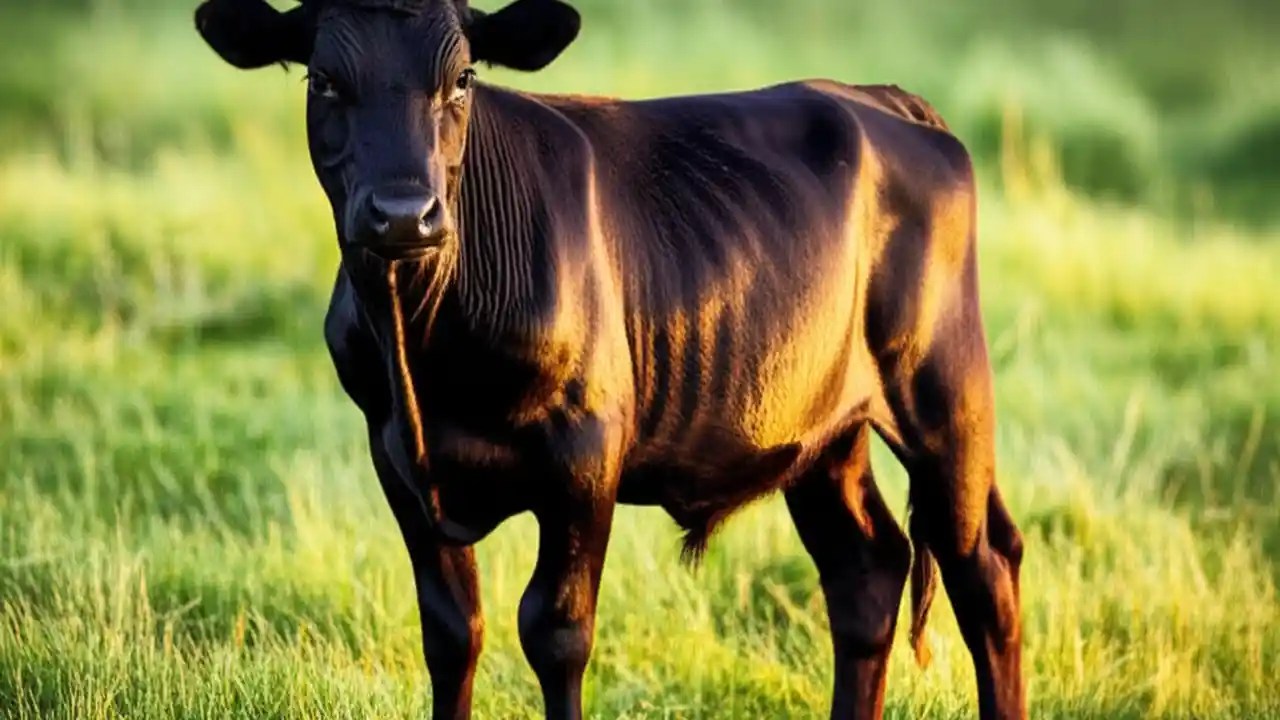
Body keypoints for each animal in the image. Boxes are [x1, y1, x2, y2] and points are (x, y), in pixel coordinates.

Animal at [194, 0, 1026, 718]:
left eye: (461, 79)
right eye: (323, 80)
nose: (403, 214)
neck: (422, 350)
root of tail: (879, 98)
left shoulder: (585, 449)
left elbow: (556, 631)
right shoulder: (393, 453)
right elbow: (452, 631)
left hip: (944, 392)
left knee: (984, 569)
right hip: (820, 429)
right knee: (865, 570)